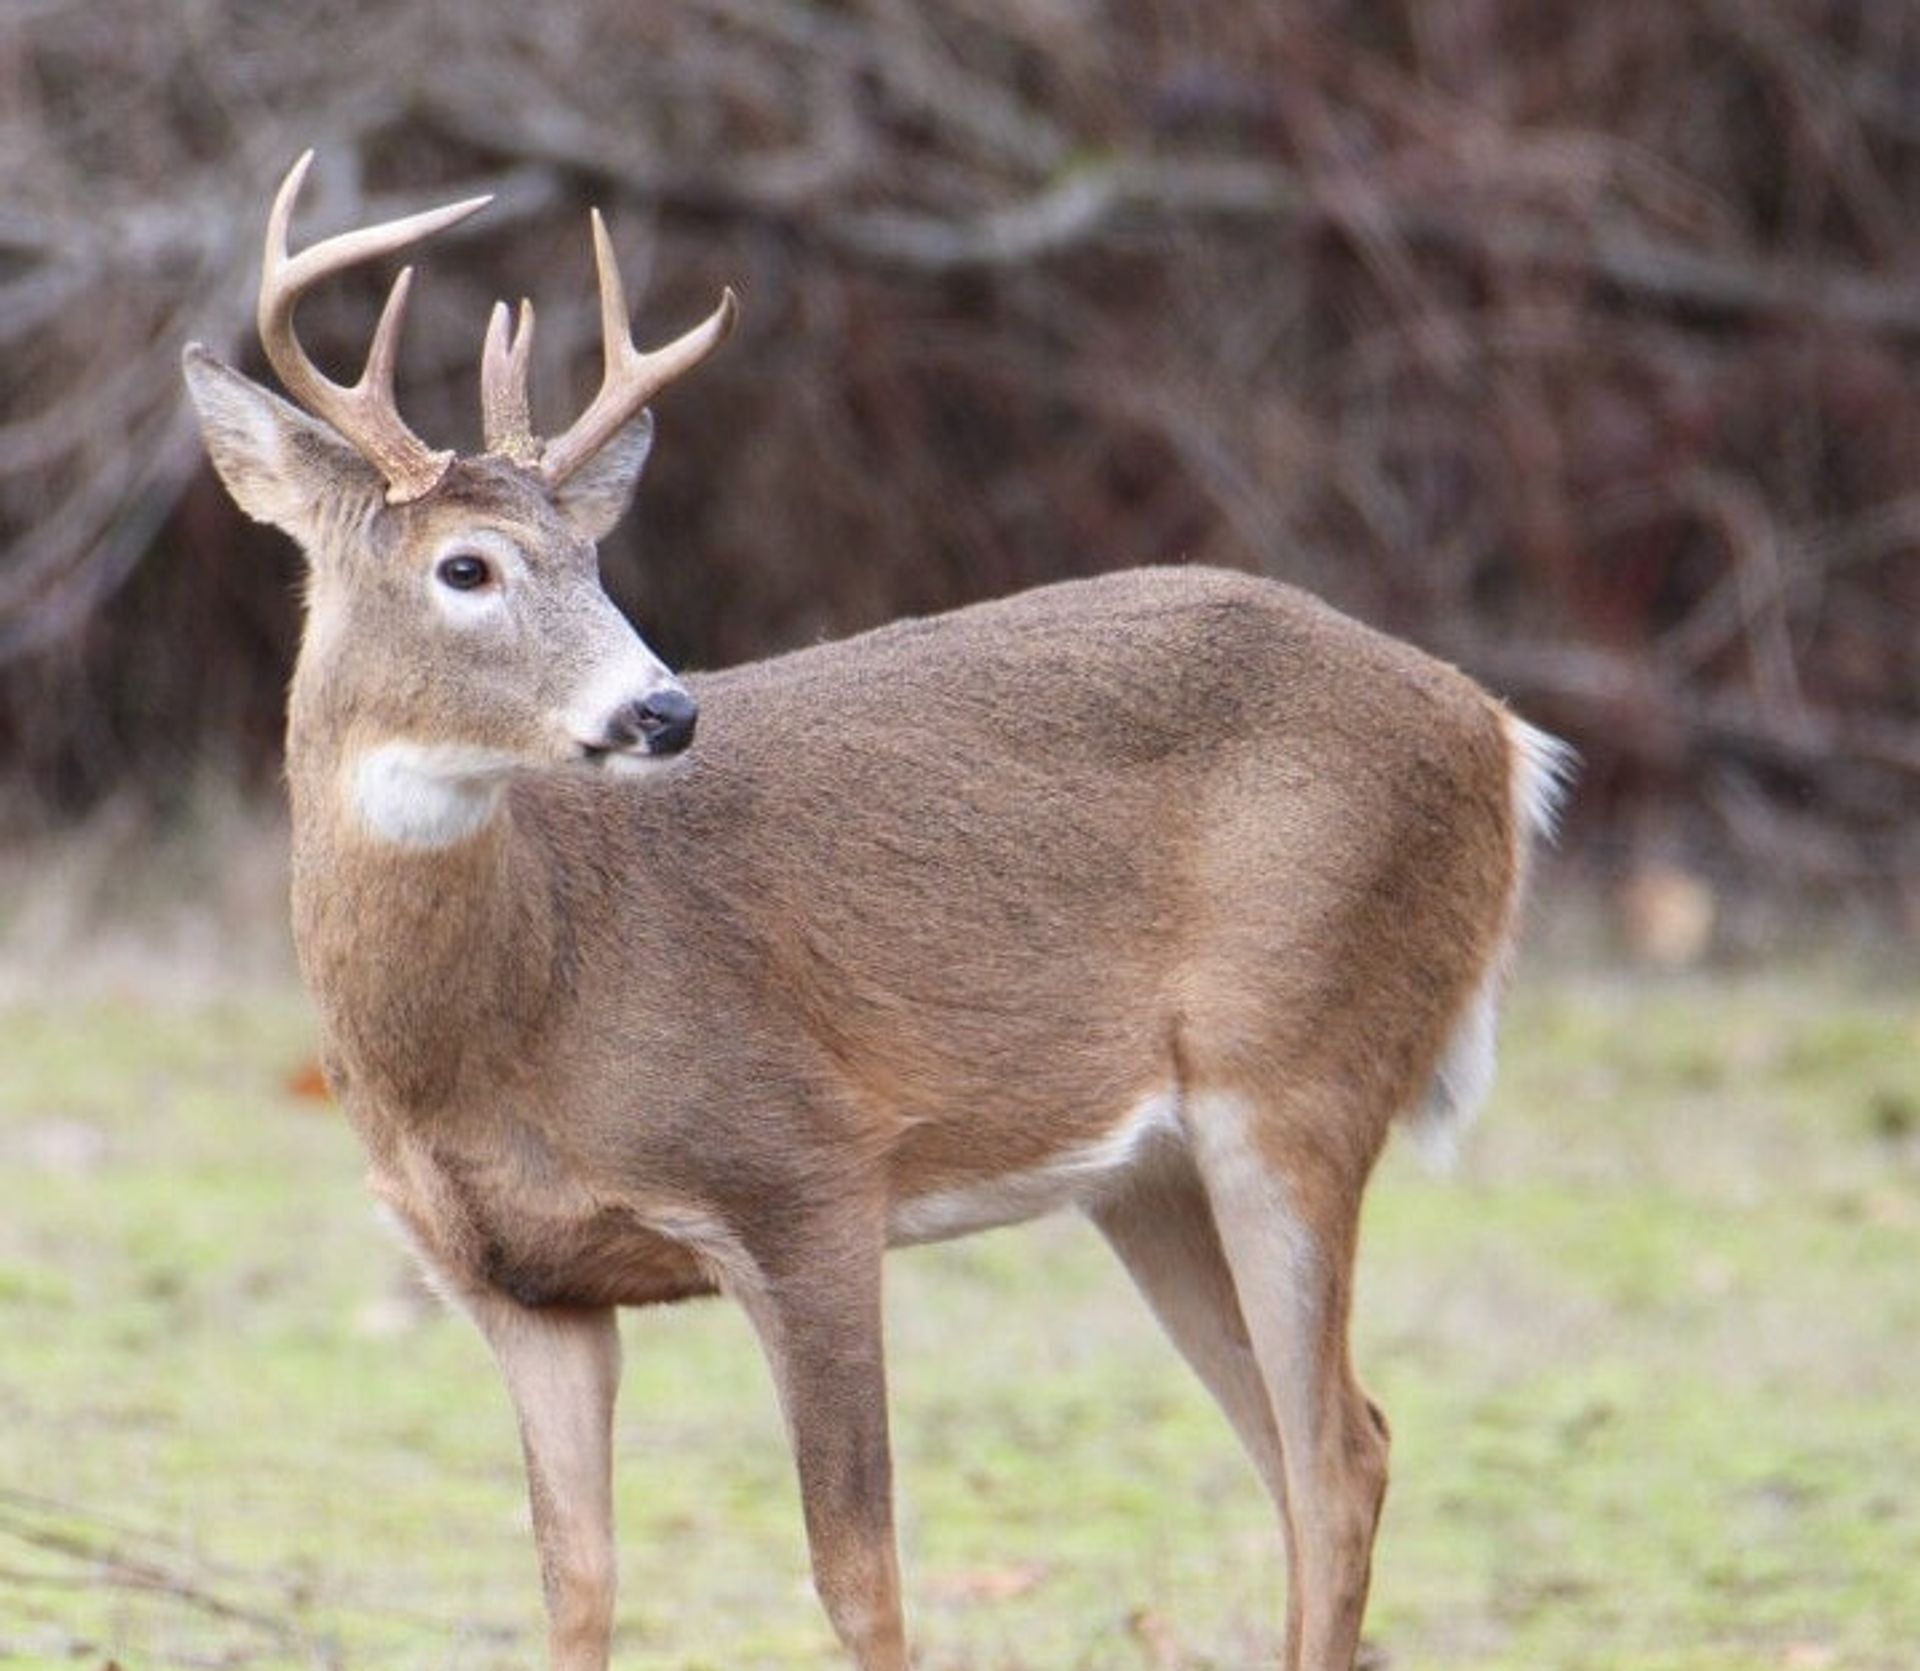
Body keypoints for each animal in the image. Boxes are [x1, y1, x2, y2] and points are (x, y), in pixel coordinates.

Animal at [181, 152, 1571, 1671]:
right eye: (467, 567)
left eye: (593, 559)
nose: (664, 709)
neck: (518, 1016)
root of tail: (1499, 733)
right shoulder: (514, 1286)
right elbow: (576, 1583)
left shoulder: (804, 1176)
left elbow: (861, 1577)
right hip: (1154, 1172)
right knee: (1305, 1448)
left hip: (1300, 1066)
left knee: (1339, 1456)